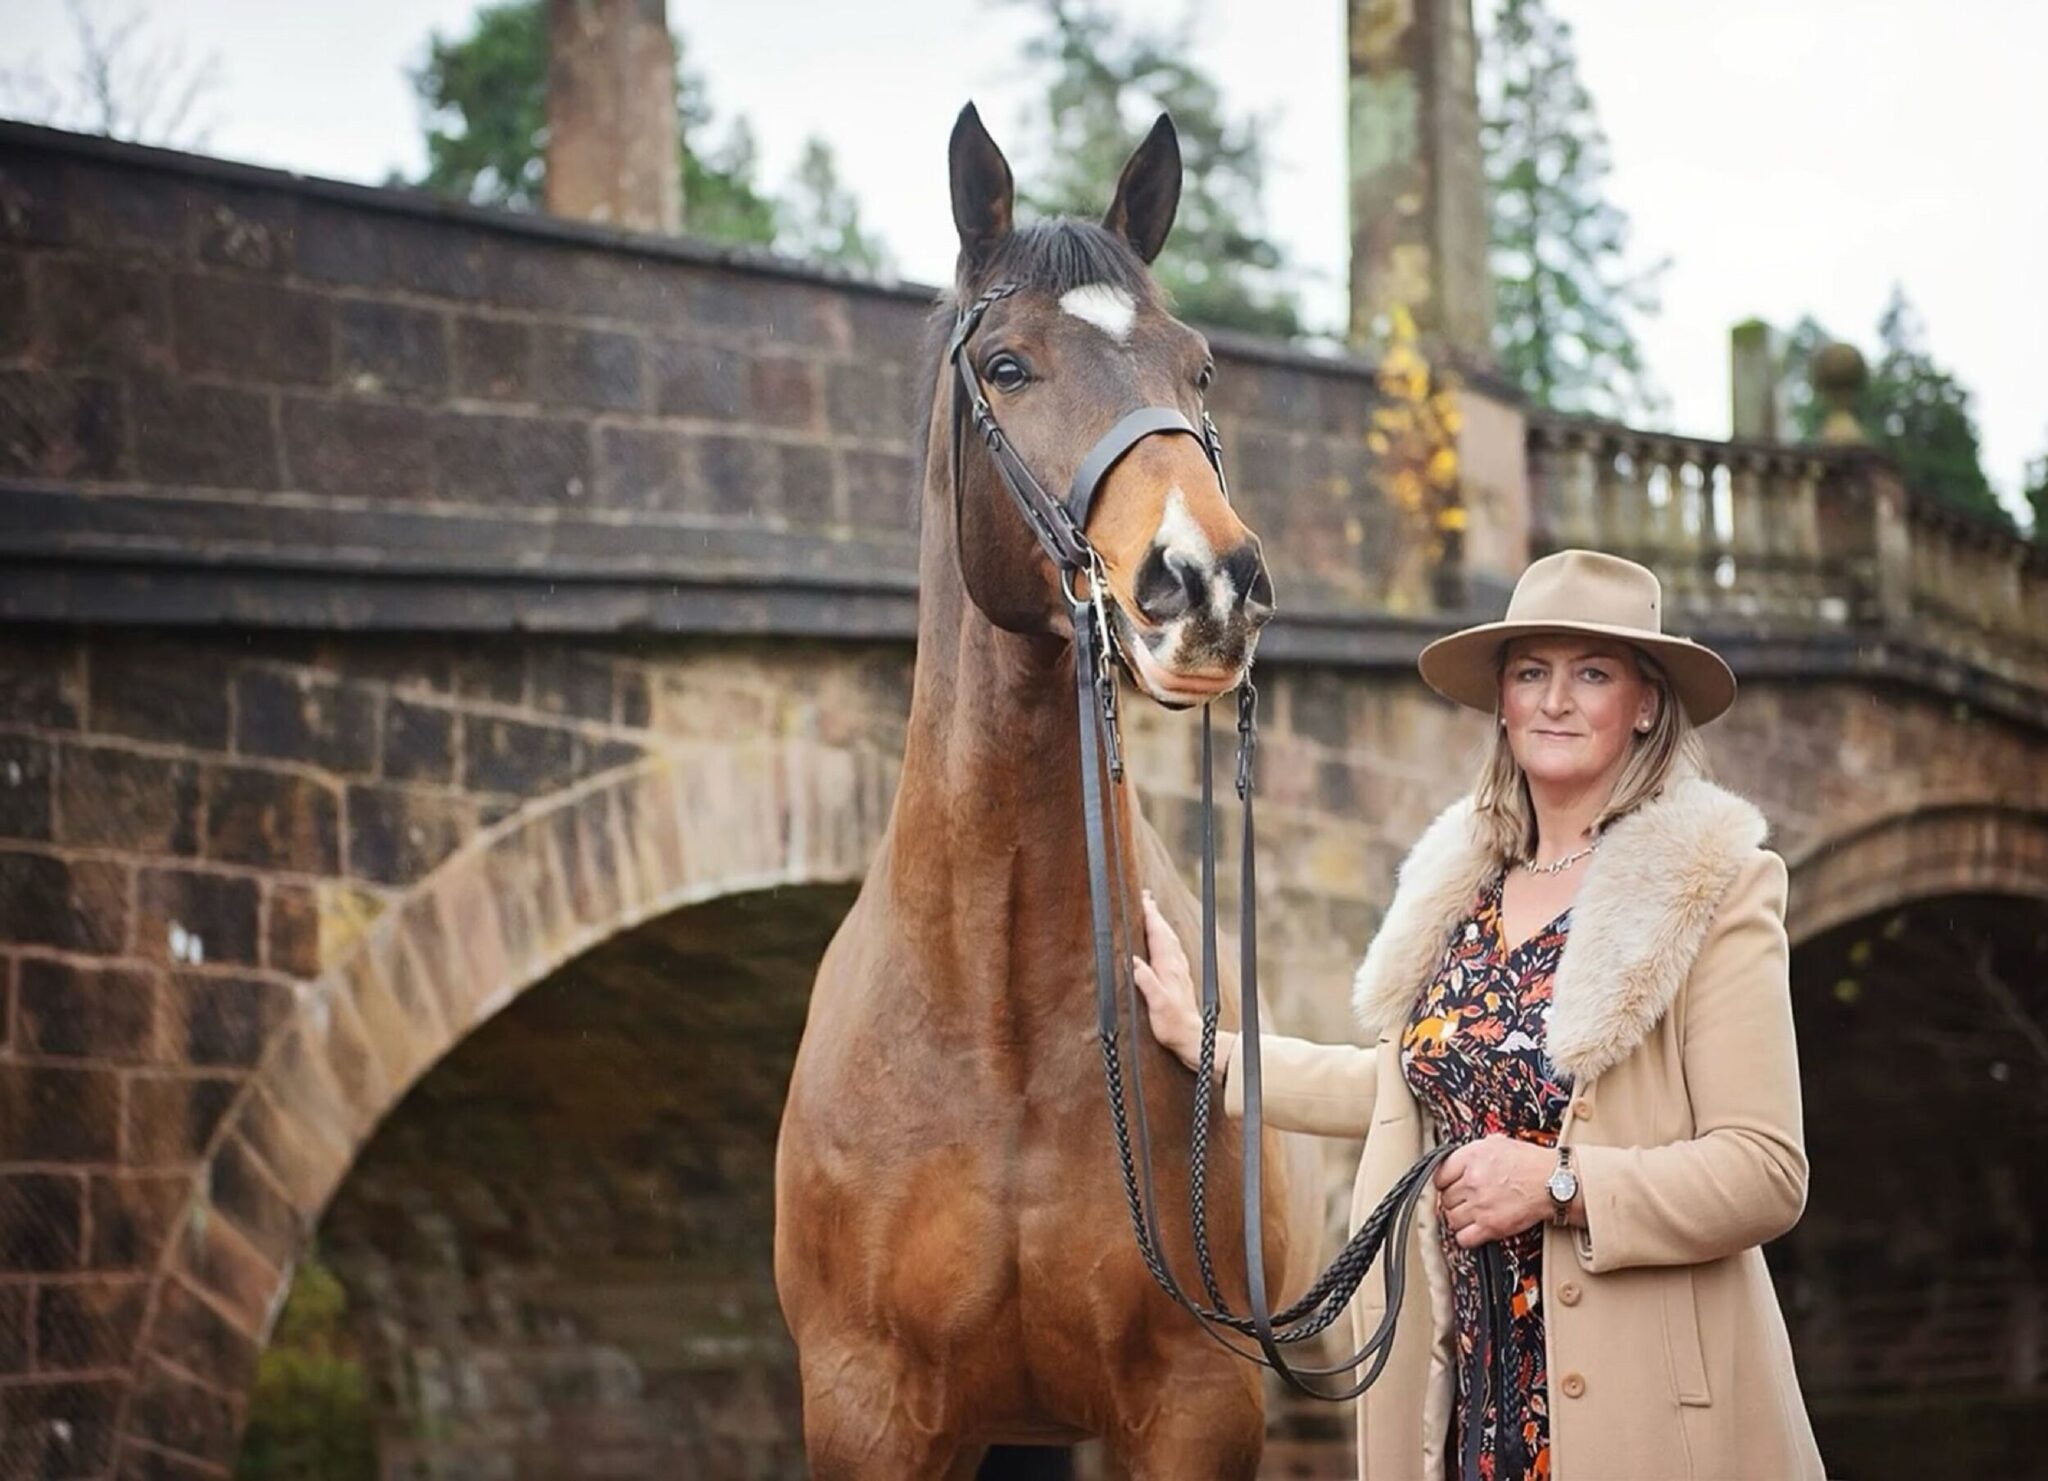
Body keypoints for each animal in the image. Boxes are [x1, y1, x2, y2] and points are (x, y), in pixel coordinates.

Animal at [774, 103, 1318, 1479]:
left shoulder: (1195, 1400)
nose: (1205, 582)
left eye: (1197, 369)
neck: (999, 1025)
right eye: (1009, 365)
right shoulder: (866, 1405)